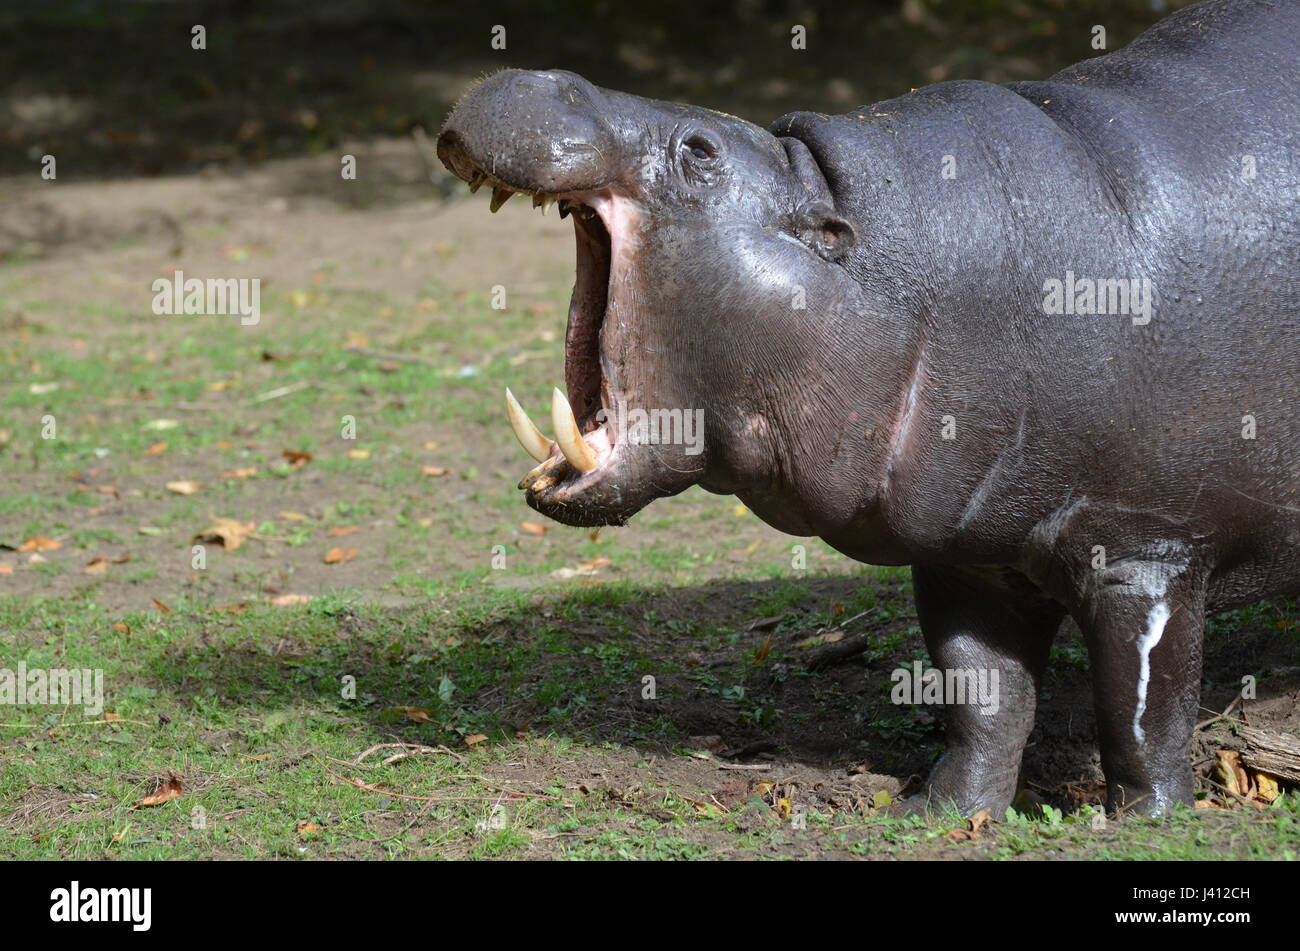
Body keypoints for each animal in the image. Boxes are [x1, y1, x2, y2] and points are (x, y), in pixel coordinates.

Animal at [437, 0, 1300, 817]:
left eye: (702, 150)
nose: (540, 76)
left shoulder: (1148, 551)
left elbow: (1140, 707)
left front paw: (1148, 818)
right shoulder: (967, 552)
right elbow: (980, 692)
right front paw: (943, 810)